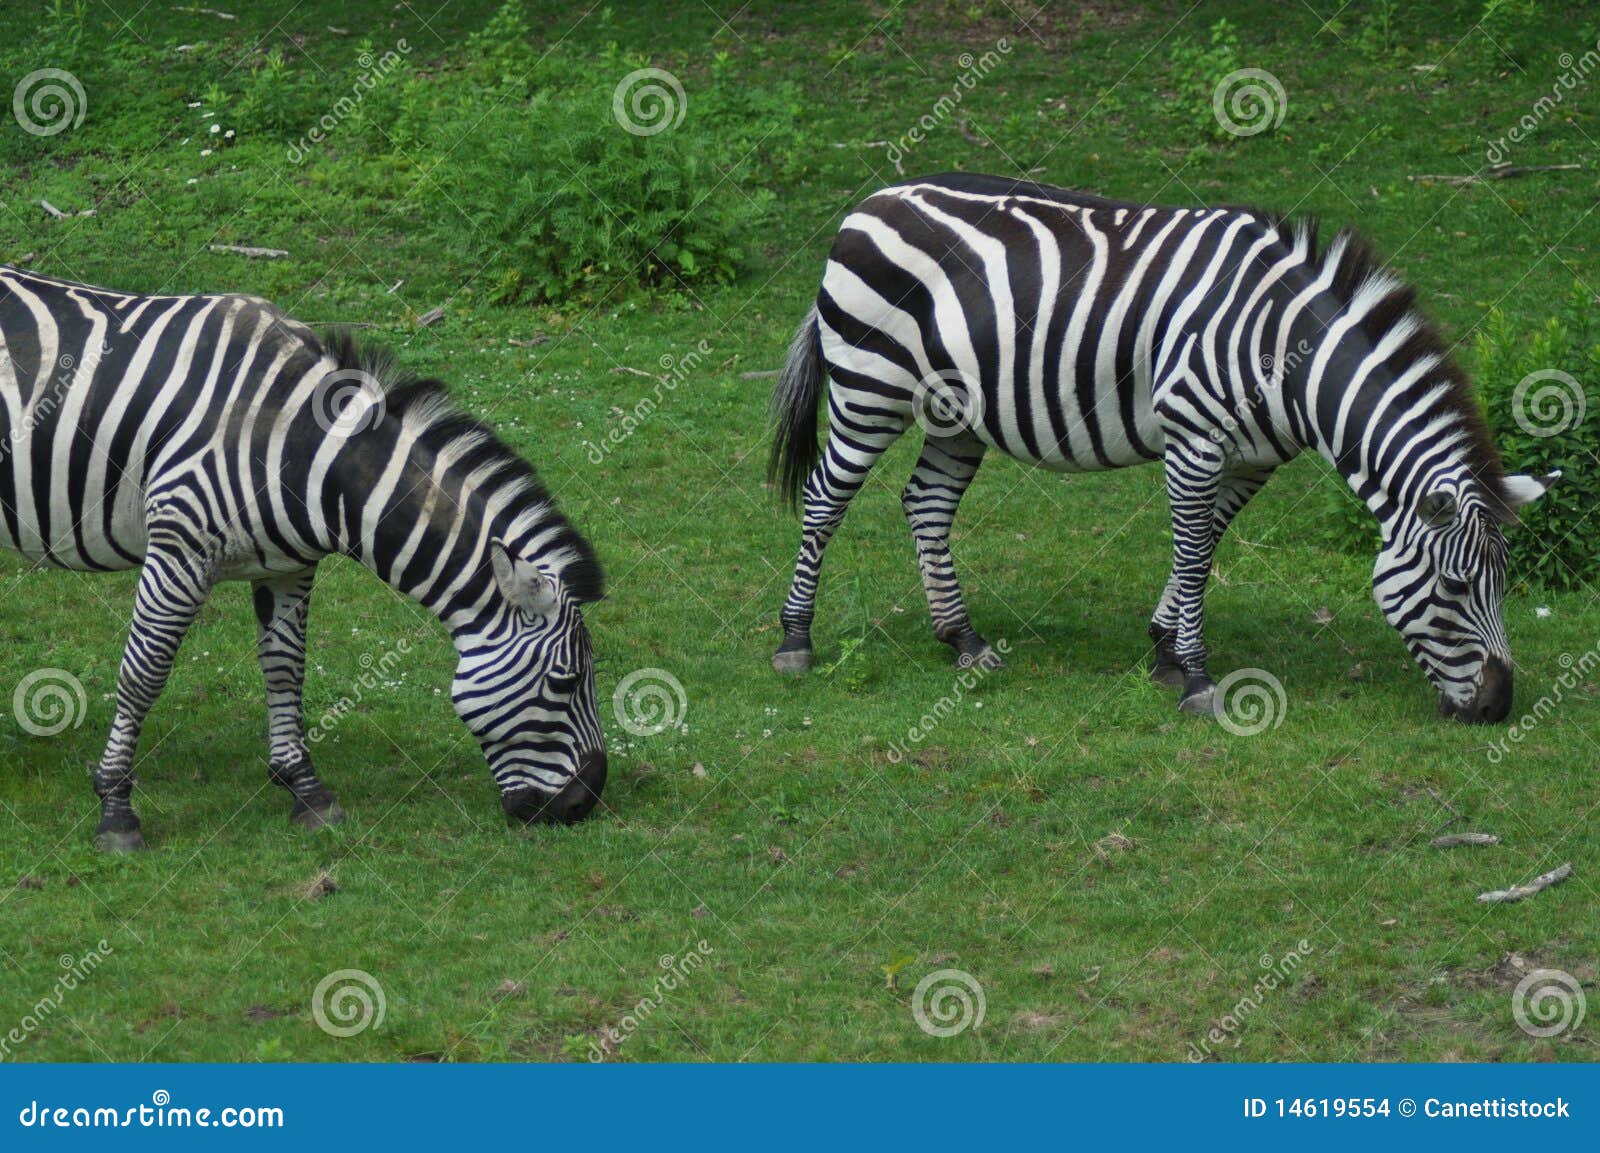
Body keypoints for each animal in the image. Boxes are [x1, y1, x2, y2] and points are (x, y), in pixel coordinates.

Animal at [0, 265, 607, 851]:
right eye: (566, 681)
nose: (585, 805)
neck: (301, 446)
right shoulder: (179, 545)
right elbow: (142, 674)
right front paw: (116, 808)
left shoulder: (290, 566)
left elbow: (285, 667)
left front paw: (305, 790)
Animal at [768, 173, 1557, 723]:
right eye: (1454, 587)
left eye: (1502, 584)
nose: (1498, 709)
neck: (1287, 355)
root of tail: (870, 200)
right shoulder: (1194, 438)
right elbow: (1193, 548)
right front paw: (1199, 679)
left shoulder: (1251, 460)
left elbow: (1204, 544)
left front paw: (1164, 650)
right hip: (869, 387)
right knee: (824, 498)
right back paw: (796, 639)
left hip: (954, 412)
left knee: (926, 503)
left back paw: (962, 638)